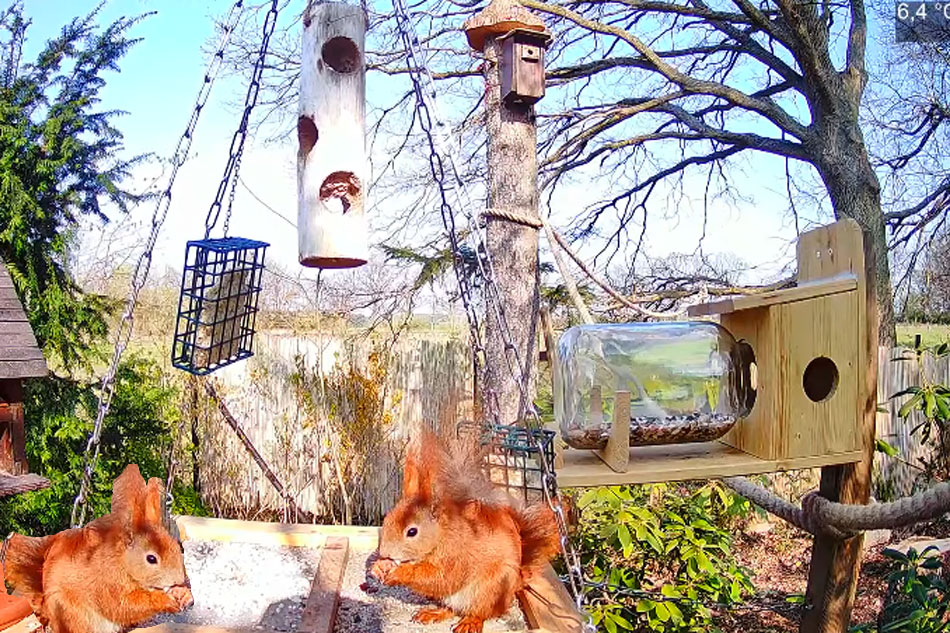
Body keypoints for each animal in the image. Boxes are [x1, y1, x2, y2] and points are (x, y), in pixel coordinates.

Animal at [4, 464, 193, 633]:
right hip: (72, 616)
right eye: (151, 559)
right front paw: (165, 600)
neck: (122, 562)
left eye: (179, 548)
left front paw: (185, 594)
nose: (179, 580)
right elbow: (126, 605)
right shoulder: (106, 583)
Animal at [370, 431, 559, 633]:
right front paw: (378, 566)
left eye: (412, 531)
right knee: (451, 609)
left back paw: (470, 622)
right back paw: (434, 612)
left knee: (481, 612)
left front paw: (400, 573)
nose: (384, 553)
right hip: (451, 598)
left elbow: (440, 577)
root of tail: (517, 581)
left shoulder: (458, 557)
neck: (442, 536)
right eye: (386, 520)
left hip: (490, 591)